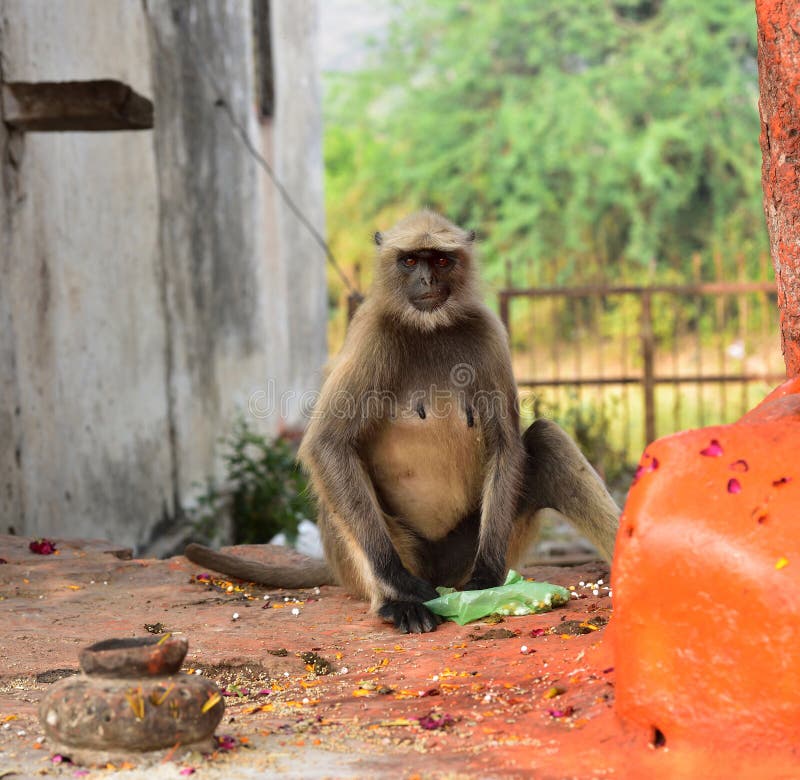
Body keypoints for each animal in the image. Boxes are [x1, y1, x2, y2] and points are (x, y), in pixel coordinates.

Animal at [185, 210, 620, 633]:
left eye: (441, 261)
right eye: (410, 261)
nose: (427, 280)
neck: (428, 327)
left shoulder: (487, 331)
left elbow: (505, 443)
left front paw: (487, 577)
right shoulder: (371, 332)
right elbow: (327, 444)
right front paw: (397, 585)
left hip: (465, 553)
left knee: (545, 439)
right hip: (399, 555)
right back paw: (395, 599)